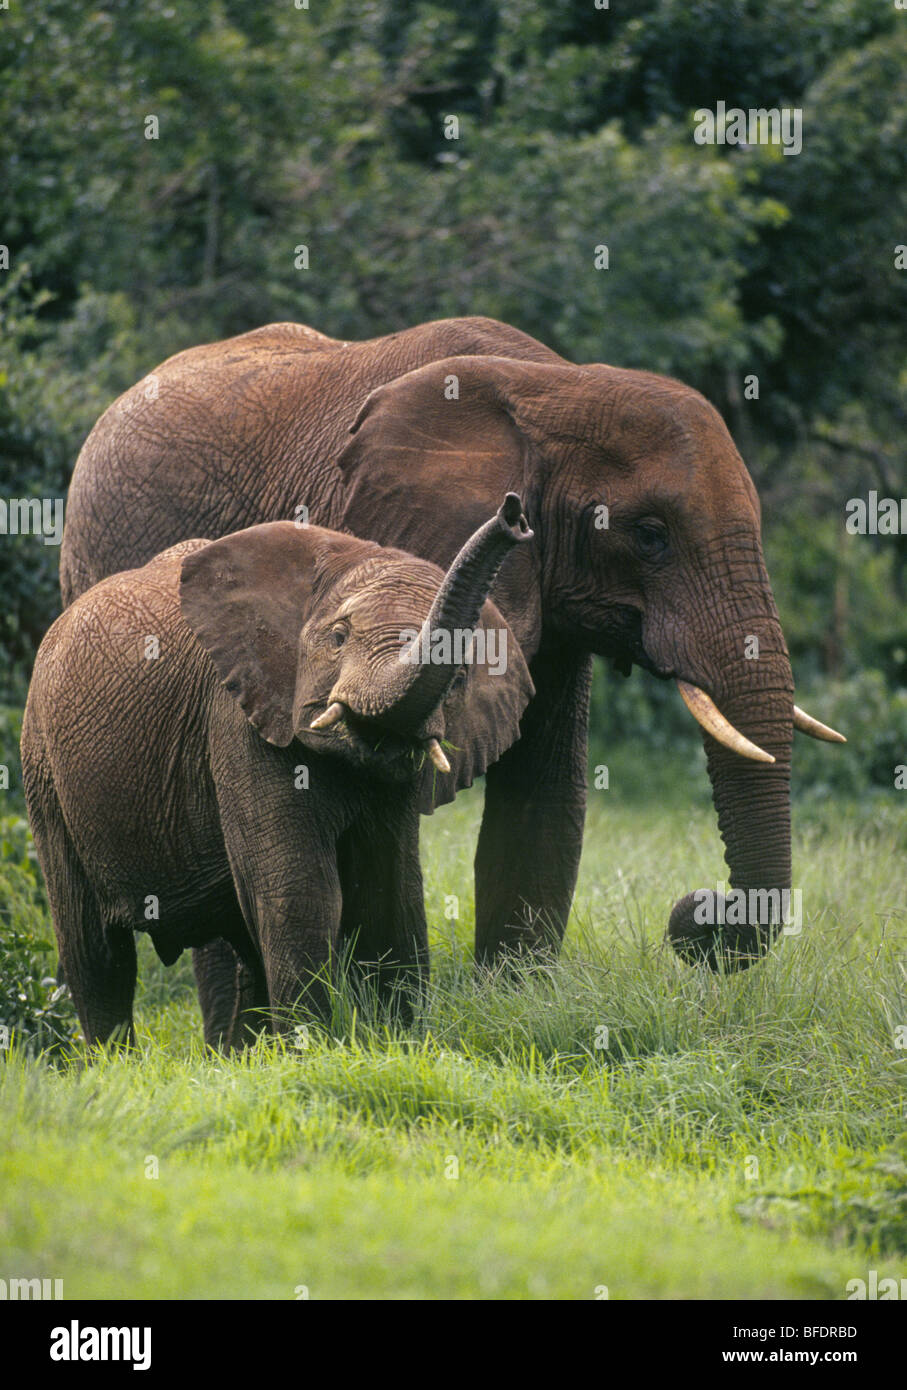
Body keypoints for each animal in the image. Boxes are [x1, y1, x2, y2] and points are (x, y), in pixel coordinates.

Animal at [22, 497, 534, 1048]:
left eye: (459, 677)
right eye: (338, 637)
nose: (515, 515)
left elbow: (388, 898)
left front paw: (395, 1045)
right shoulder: (235, 716)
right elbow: (300, 895)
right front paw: (316, 1050)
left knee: (243, 940)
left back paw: (245, 1056)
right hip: (43, 766)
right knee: (96, 951)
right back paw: (117, 1061)